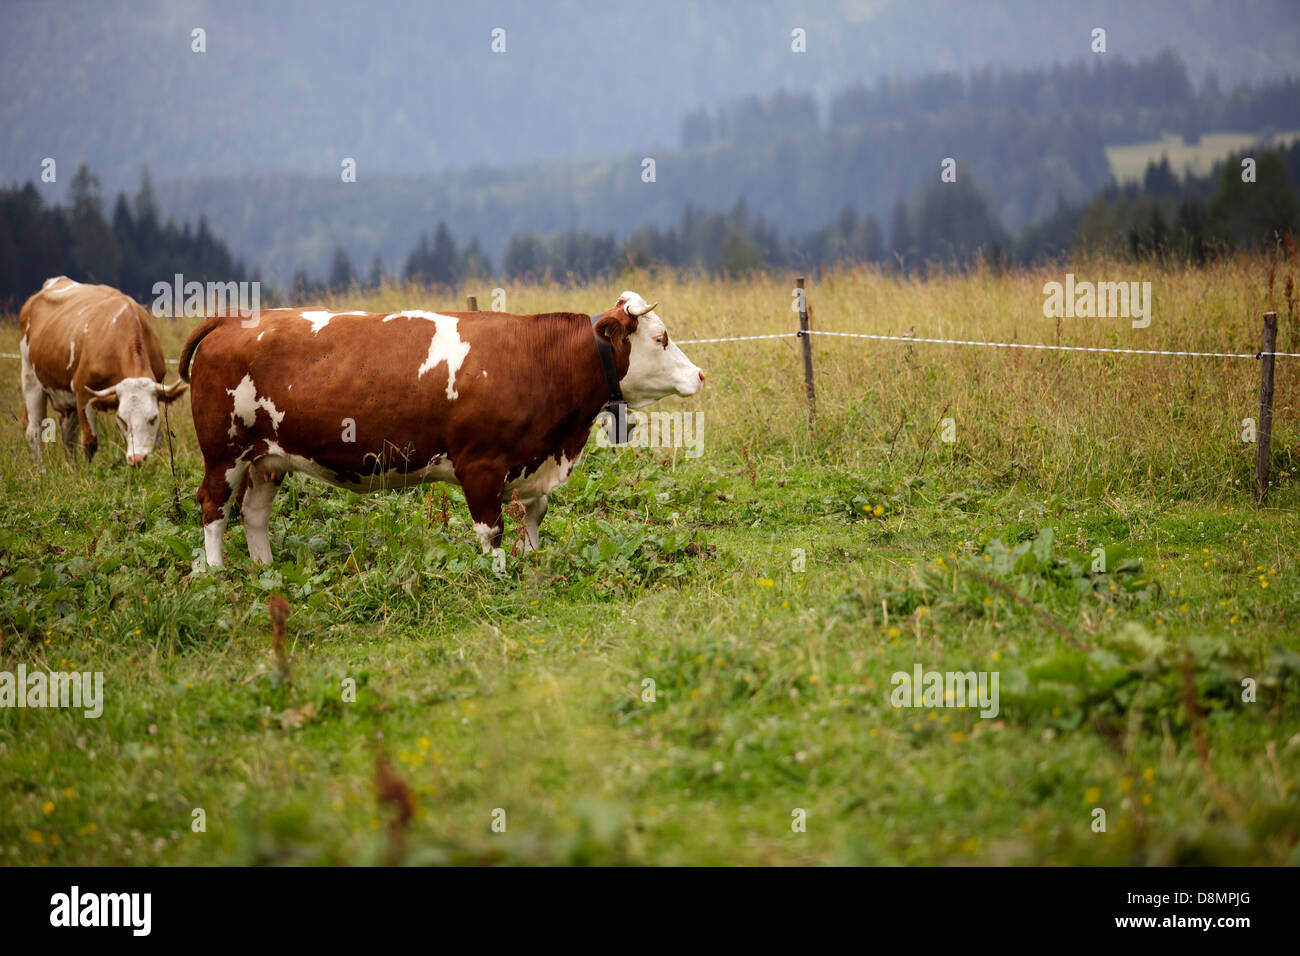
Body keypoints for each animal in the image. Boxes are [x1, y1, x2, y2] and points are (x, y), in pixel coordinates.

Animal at [19, 277, 189, 466]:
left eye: (152, 418)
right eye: (122, 419)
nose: (137, 459)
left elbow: (159, 440)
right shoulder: (82, 392)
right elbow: (90, 442)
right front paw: (87, 472)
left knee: (68, 434)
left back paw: (72, 468)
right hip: (30, 378)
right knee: (34, 431)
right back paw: (41, 470)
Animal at [179, 291, 704, 567]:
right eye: (662, 338)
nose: (699, 375)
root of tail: (232, 318)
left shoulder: (533, 464)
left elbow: (535, 517)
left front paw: (532, 562)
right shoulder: (482, 466)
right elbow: (492, 531)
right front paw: (498, 576)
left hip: (267, 458)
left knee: (253, 512)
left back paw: (265, 568)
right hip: (224, 453)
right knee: (213, 508)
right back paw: (217, 573)